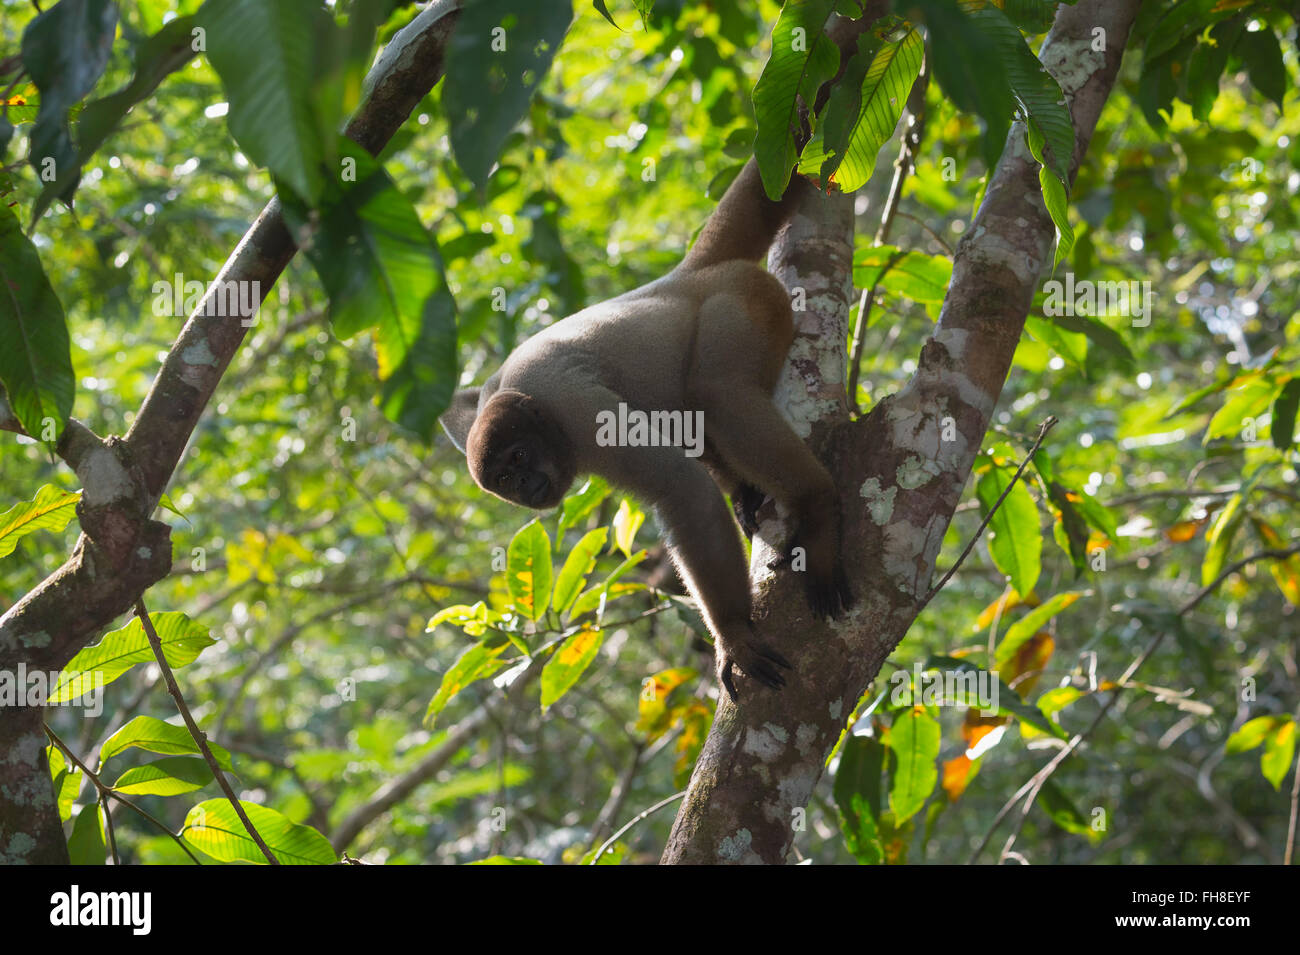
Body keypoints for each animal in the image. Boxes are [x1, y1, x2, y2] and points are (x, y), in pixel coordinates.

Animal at [441, 157, 853, 700]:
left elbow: (681, 489)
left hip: (745, 297)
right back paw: (745, 491)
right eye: (506, 478)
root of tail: (682, 278)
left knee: (717, 393)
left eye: (519, 457)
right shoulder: (484, 410)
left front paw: (732, 634)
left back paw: (817, 507)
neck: (537, 409)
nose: (526, 485)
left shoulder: (578, 410)